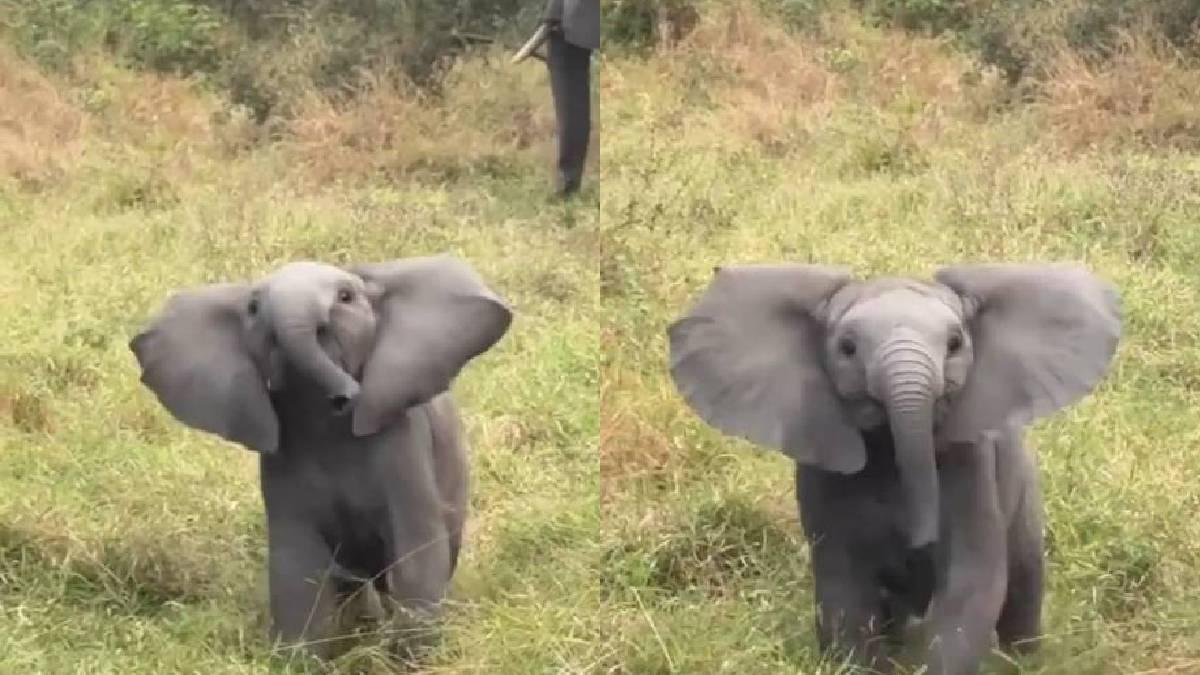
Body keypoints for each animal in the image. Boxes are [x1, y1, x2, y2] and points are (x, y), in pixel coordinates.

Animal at [128, 255, 513, 660]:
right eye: (253, 309)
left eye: (345, 297)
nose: (347, 395)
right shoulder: (283, 462)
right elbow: (298, 568)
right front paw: (297, 660)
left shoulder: (406, 446)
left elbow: (416, 550)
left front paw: (412, 658)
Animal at [667, 262, 1121, 674]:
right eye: (848, 348)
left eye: (955, 343)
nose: (916, 543)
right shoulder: (822, 475)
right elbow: (845, 589)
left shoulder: (973, 465)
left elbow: (970, 585)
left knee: (1023, 587)